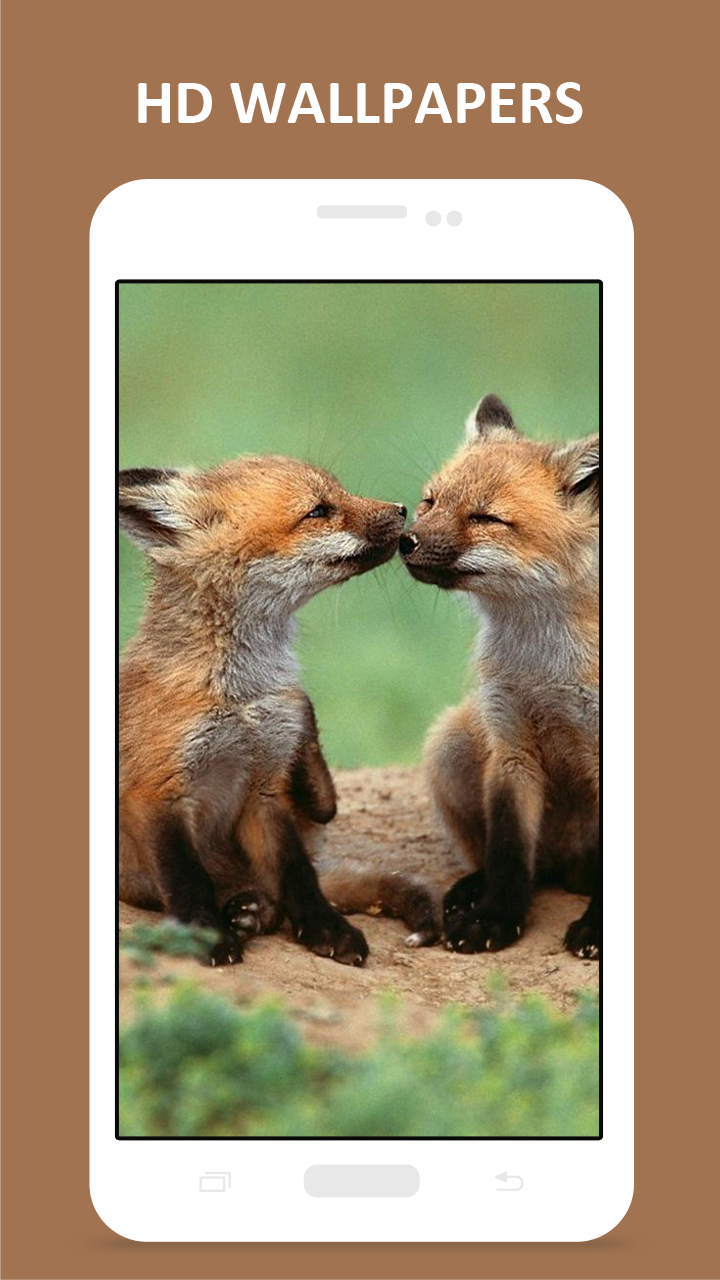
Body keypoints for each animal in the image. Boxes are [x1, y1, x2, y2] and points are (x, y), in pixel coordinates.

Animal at [118, 454, 438, 967]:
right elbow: (188, 882)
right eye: (318, 510)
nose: (403, 509)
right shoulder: (154, 793)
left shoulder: (265, 788)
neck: (243, 697)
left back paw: (254, 911)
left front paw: (327, 929)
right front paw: (208, 937)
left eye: (338, 493)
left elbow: (298, 876)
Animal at [399, 393, 600, 959]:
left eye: (485, 517)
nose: (405, 540)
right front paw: (495, 918)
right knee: (521, 865)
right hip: (449, 742)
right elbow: (509, 852)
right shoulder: (509, 742)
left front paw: (595, 930)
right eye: (430, 502)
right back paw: (473, 888)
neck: (541, 665)